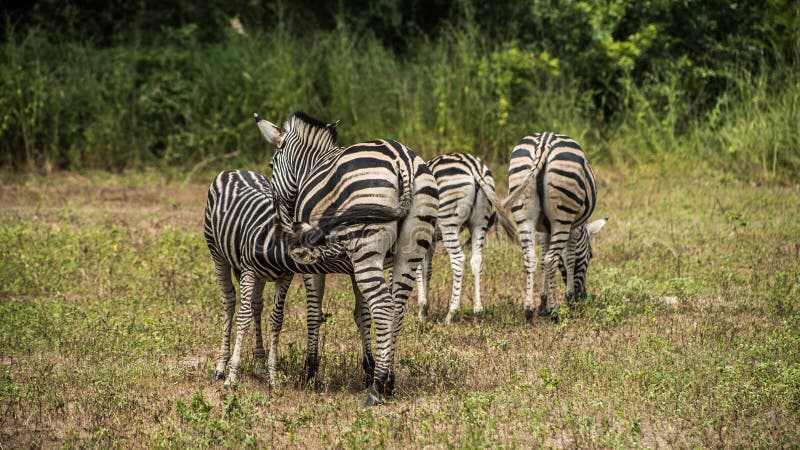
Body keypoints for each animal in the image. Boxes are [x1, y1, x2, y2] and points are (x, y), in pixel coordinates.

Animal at [205, 169, 389, 390]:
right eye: (343, 255)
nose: (374, 256)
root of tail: (233, 171)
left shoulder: (285, 276)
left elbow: (276, 319)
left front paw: (272, 378)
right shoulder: (248, 271)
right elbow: (243, 318)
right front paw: (232, 377)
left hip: (255, 275)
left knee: (256, 305)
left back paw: (259, 363)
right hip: (218, 255)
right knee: (229, 302)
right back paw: (220, 368)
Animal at [254, 111, 438, 406]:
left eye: (272, 164)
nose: (284, 221)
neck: (311, 165)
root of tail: (403, 161)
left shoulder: (313, 265)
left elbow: (313, 314)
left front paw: (310, 372)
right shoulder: (353, 267)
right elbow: (362, 314)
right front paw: (368, 368)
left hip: (367, 246)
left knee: (384, 307)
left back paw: (377, 390)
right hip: (408, 250)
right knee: (396, 310)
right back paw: (389, 380)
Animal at [415, 153, 518, 323]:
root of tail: (473, 166)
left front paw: (421, 308)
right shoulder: (429, 240)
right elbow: (427, 270)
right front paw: (424, 310)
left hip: (449, 222)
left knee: (458, 260)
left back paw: (451, 314)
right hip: (479, 223)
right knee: (477, 261)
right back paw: (478, 313)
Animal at [503, 132, 607, 322]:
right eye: (590, 255)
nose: (583, 297)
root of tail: (544, 143)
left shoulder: (544, 229)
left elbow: (544, 259)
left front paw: (542, 303)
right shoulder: (574, 227)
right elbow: (568, 258)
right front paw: (568, 299)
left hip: (523, 212)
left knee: (530, 257)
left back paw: (528, 310)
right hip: (563, 214)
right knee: (552, 258)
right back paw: (554, 312)